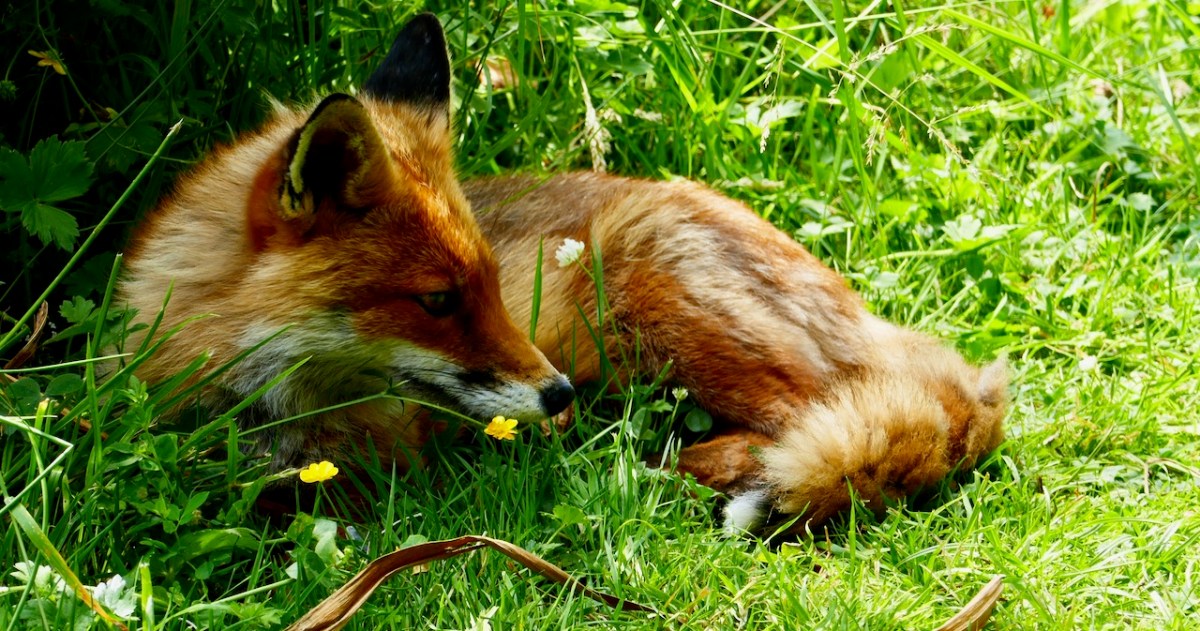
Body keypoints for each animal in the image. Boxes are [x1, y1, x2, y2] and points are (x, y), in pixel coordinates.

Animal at [117, 14, 1007, 534]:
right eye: (438, 300)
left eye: (487, 285)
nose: (559, 397)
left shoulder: (382, 463)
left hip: (657, 304)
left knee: (806, 423)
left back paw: (657, 469)